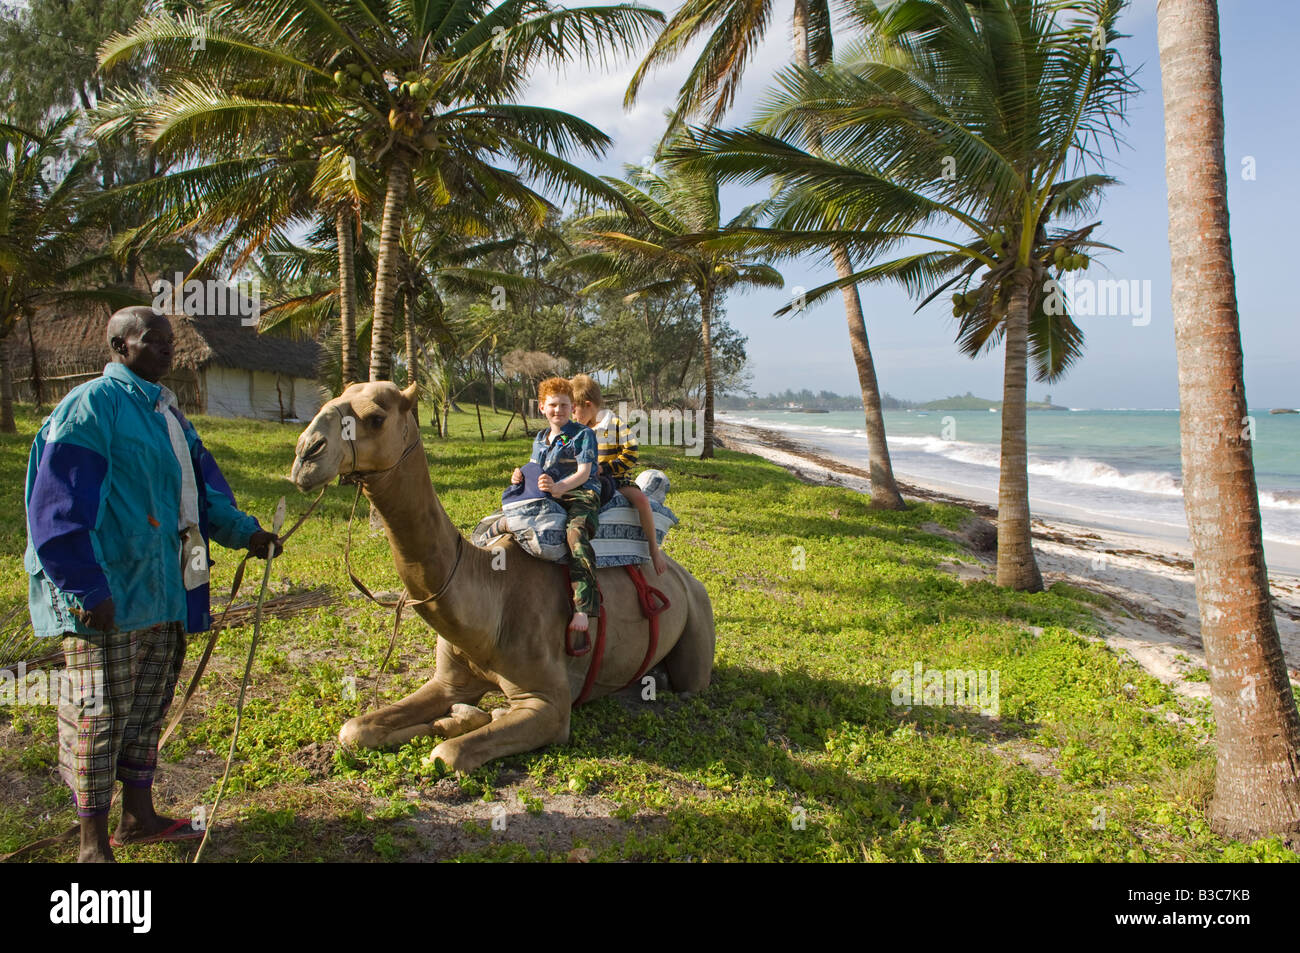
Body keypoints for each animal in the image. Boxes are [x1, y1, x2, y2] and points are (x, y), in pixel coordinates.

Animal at [290, 381, 716, 774]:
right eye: (329, 399)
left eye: (376, 418)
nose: (306, 455)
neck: (490, 597)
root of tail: (686, 577)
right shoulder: (450, 681)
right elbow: (354, 729)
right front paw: (462, 717)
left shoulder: (549, 705)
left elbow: (446, 756)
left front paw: (464, 724)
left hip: (697, 626)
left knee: (690, 683)